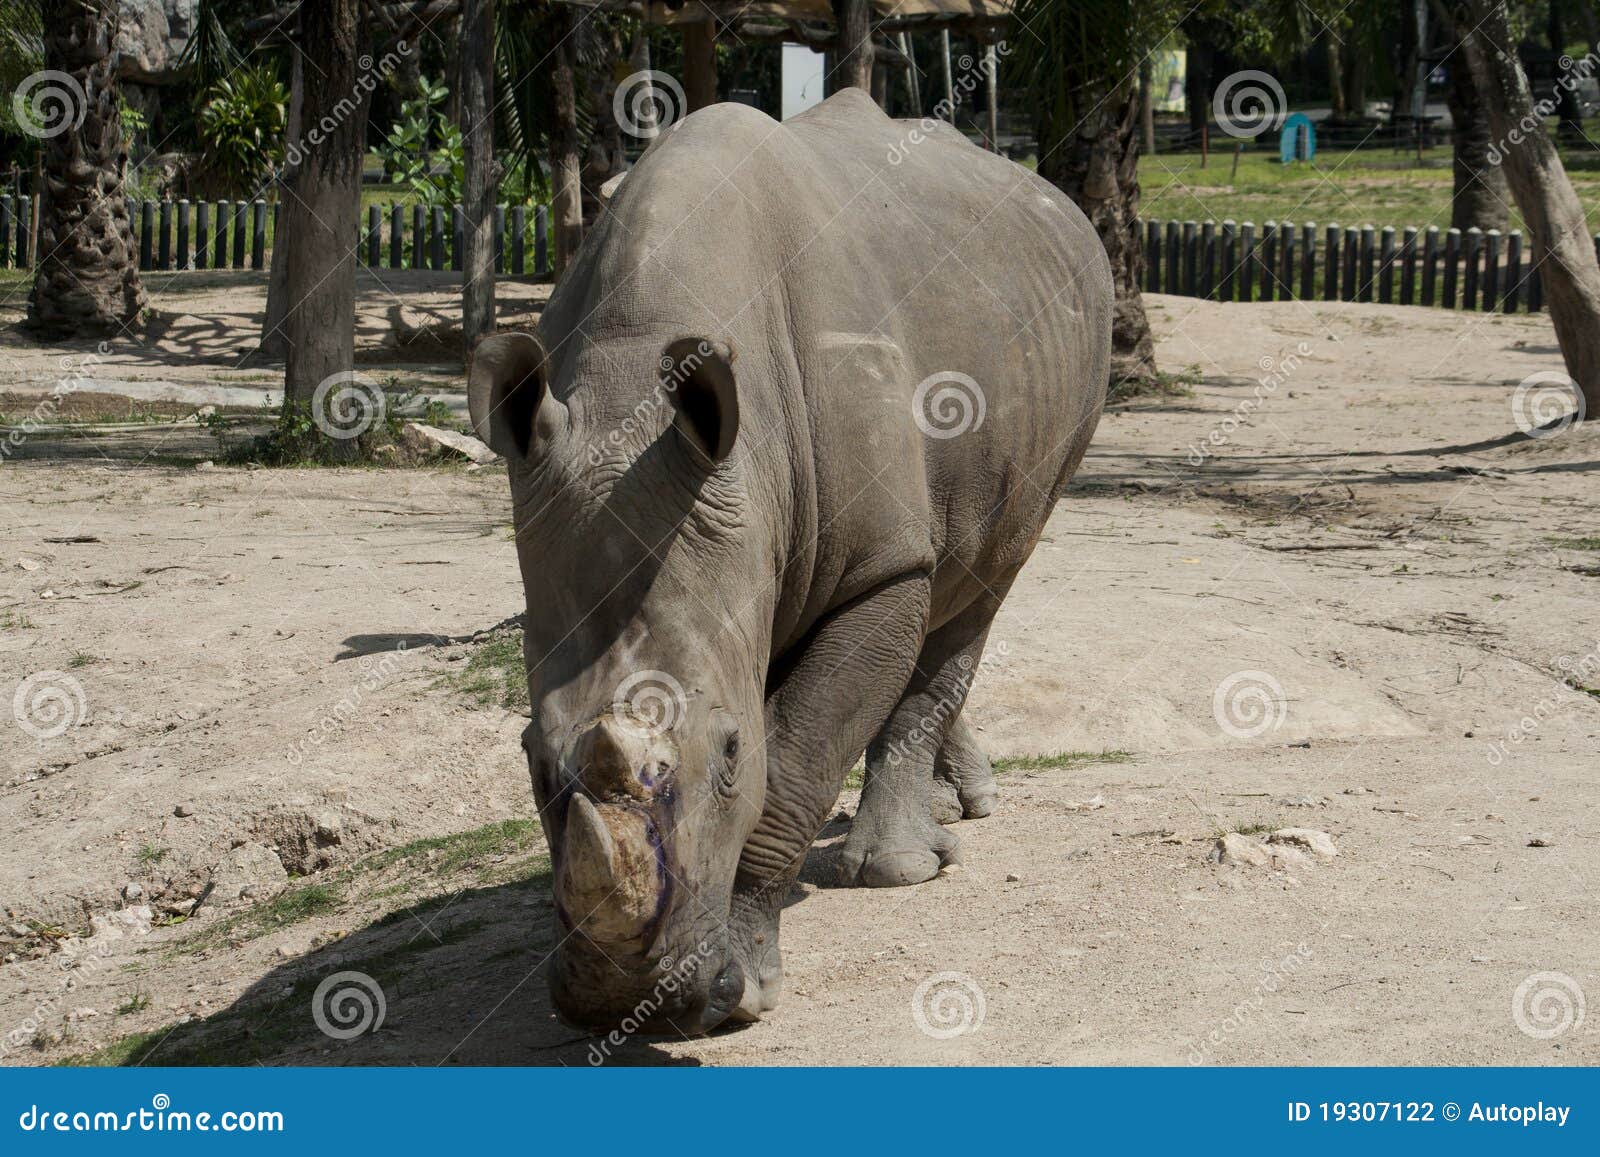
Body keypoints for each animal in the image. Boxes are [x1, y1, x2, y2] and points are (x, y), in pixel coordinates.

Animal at [468, 89, 1110, 1035]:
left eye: (732, 752)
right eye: (532, 760)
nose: (627, 1003)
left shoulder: (876, 564)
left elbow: (796, 758)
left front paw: (745, 993)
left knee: (985, 579)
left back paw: (906, 865)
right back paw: (956, 809)